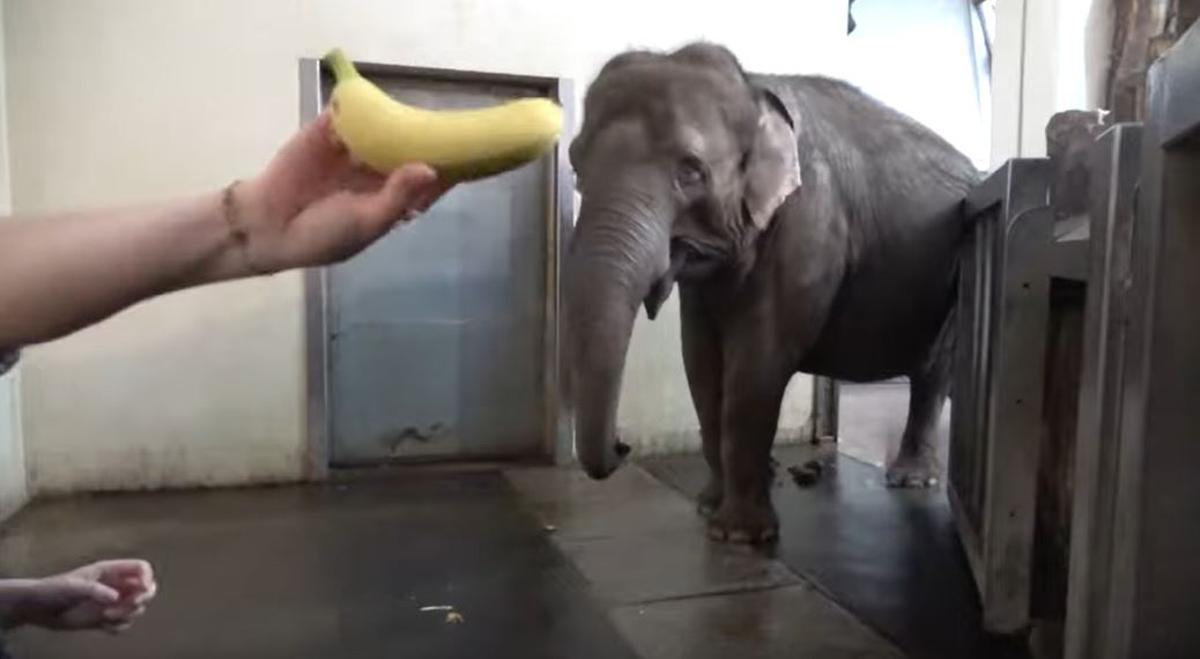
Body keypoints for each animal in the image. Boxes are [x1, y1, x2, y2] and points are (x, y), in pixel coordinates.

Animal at [564, 42, 980, 543]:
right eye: (575, 166)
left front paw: (740, 535)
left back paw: (912, 480)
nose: (623, 445)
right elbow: (700, 360)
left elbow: (758, 360)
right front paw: (709, 507)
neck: (752, 85)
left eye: (691, 171)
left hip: (956, 274)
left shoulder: (809, 225)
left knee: (934, 370)